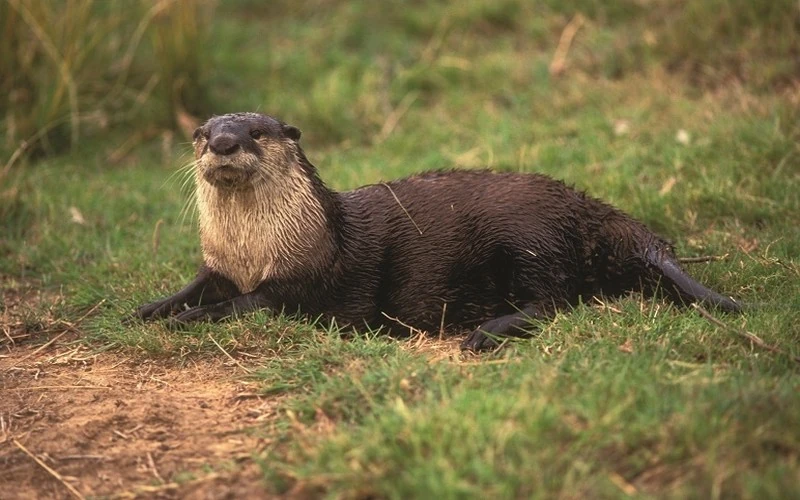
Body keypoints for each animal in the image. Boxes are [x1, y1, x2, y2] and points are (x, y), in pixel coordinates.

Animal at [134, 112, 741, 351]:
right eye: (201, 132)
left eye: (257, 132)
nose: (223, 142)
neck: (255, 251)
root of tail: (588, 208)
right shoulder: (219, 264)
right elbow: (196, 285)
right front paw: (151, 308)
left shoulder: (303, 281)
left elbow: (244, 304)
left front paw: (190, 318)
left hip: (531, 238)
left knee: (557, 300)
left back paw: (485, 333)